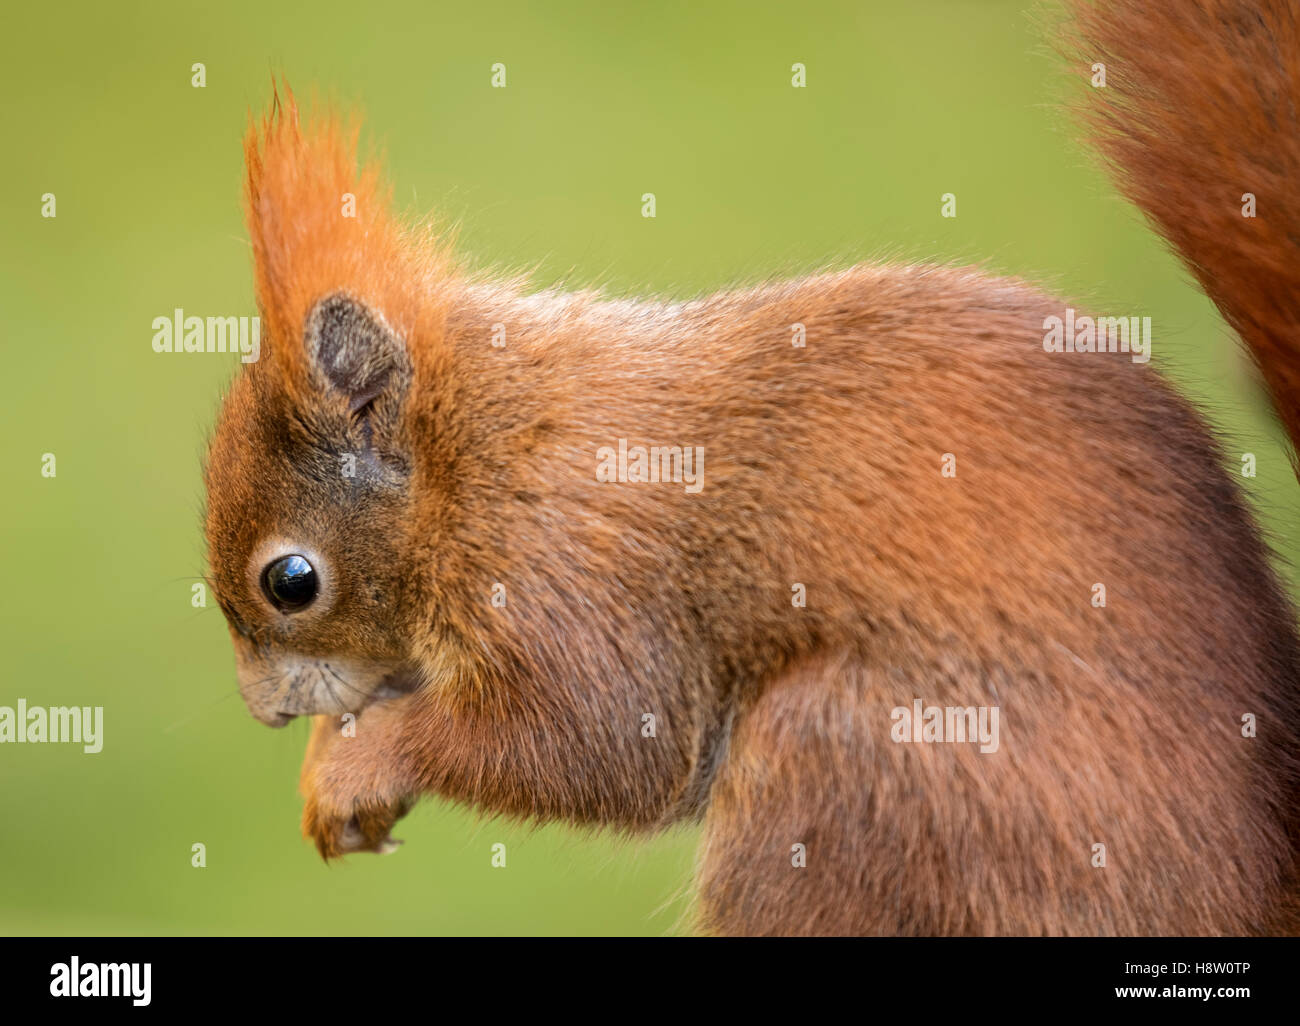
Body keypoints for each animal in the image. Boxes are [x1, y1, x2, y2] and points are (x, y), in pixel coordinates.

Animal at [205, 0, 1300, 935]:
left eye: (291, 582)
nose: (265, 714)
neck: (472, 447)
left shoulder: (568, 573)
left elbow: (600, 747)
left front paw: (359, 764)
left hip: (858, 774)